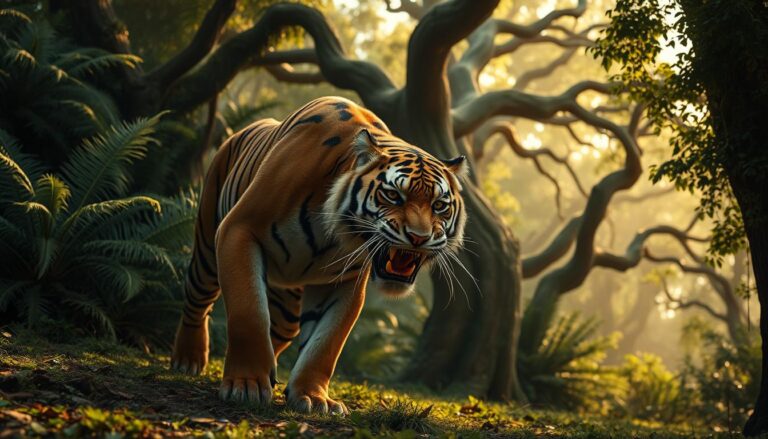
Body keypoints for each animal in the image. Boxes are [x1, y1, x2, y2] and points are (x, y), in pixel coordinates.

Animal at [171, 96, 467, 415]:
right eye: (393, 196)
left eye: (439, 205)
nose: (419, 237)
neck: (332, 235)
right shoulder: (239, 229)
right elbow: (249, 314)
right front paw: (246, 385)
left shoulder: (344, 282)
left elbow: (326, 345)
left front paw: (312, 397)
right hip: (207, 248)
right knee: (198, 301)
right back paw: (188, 360)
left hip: (286, 300)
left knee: (279, 329)